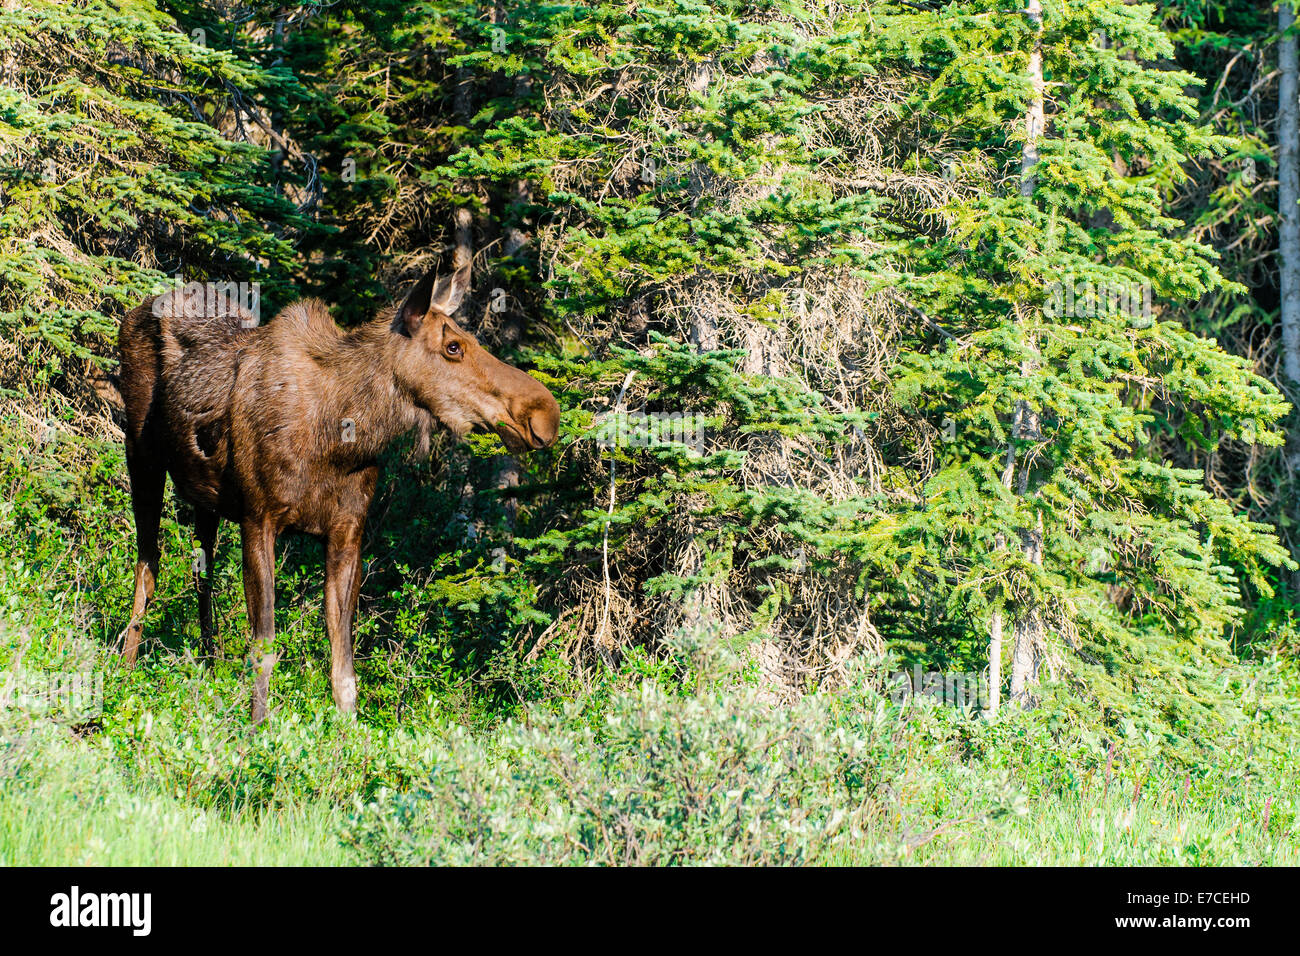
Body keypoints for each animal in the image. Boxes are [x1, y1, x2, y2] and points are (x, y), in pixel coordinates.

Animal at [117, 256, 560, 723]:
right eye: (453, 347)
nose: (545, 414)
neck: (340, 439)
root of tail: (135, 311)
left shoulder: (348, 532)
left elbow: (344, 667)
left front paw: (345, 734)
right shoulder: (259, 519)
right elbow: (264, 648)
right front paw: (255, 731)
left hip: (206, 497)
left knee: (202, 568)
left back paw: (207, 661)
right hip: (141, 454)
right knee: (148, 562)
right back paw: (124, 670)